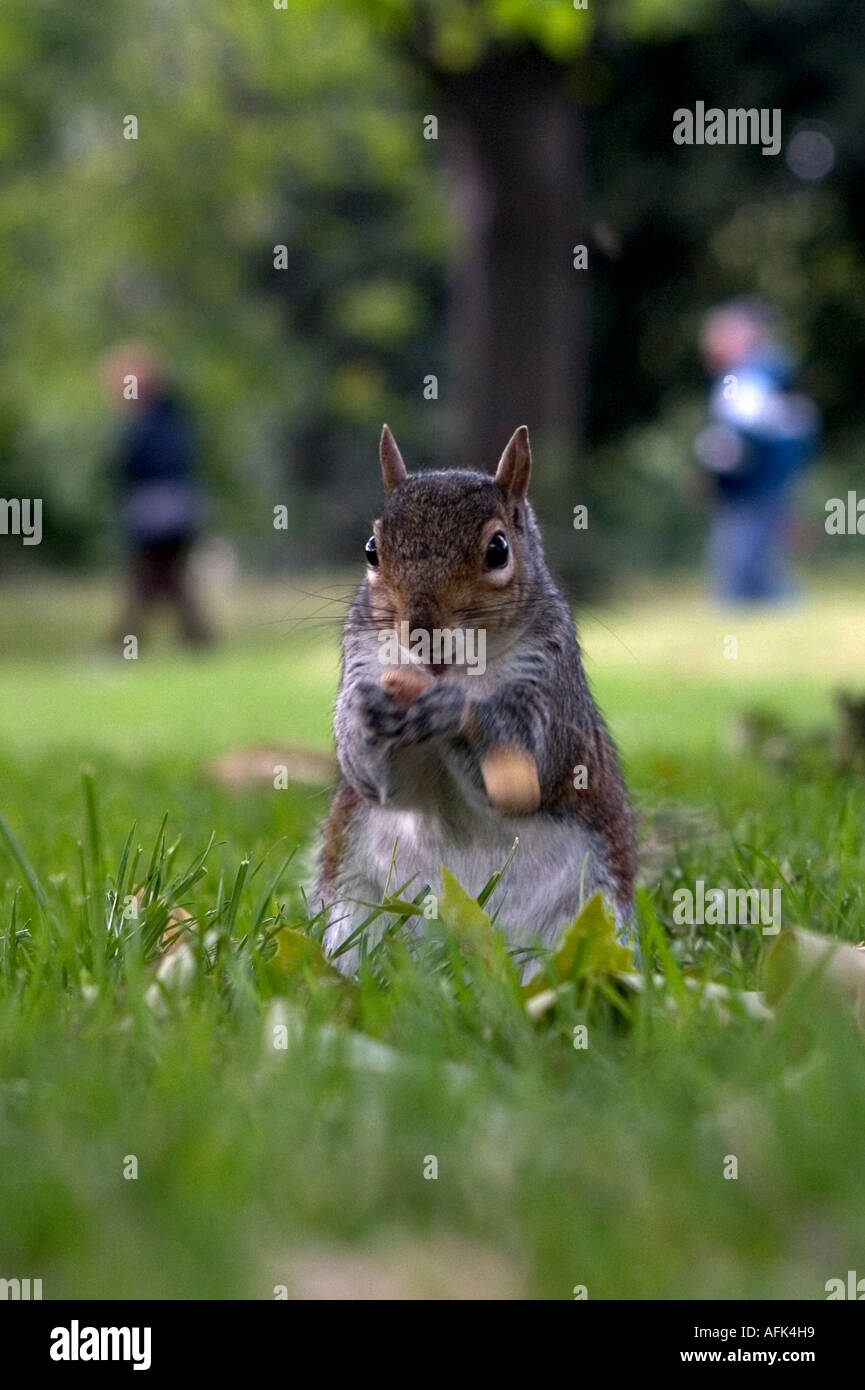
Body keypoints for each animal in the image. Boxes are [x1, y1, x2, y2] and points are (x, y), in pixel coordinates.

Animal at [315, 424, 636, 973]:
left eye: (498, 549)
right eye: (371, 549)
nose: (421, 629)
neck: (454, 673)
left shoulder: (550, 682)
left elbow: (531, 760)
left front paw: (455, 712)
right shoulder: (363, 658)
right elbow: (380, 784)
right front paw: (362, 717)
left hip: (588, 918)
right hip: (355, 906)